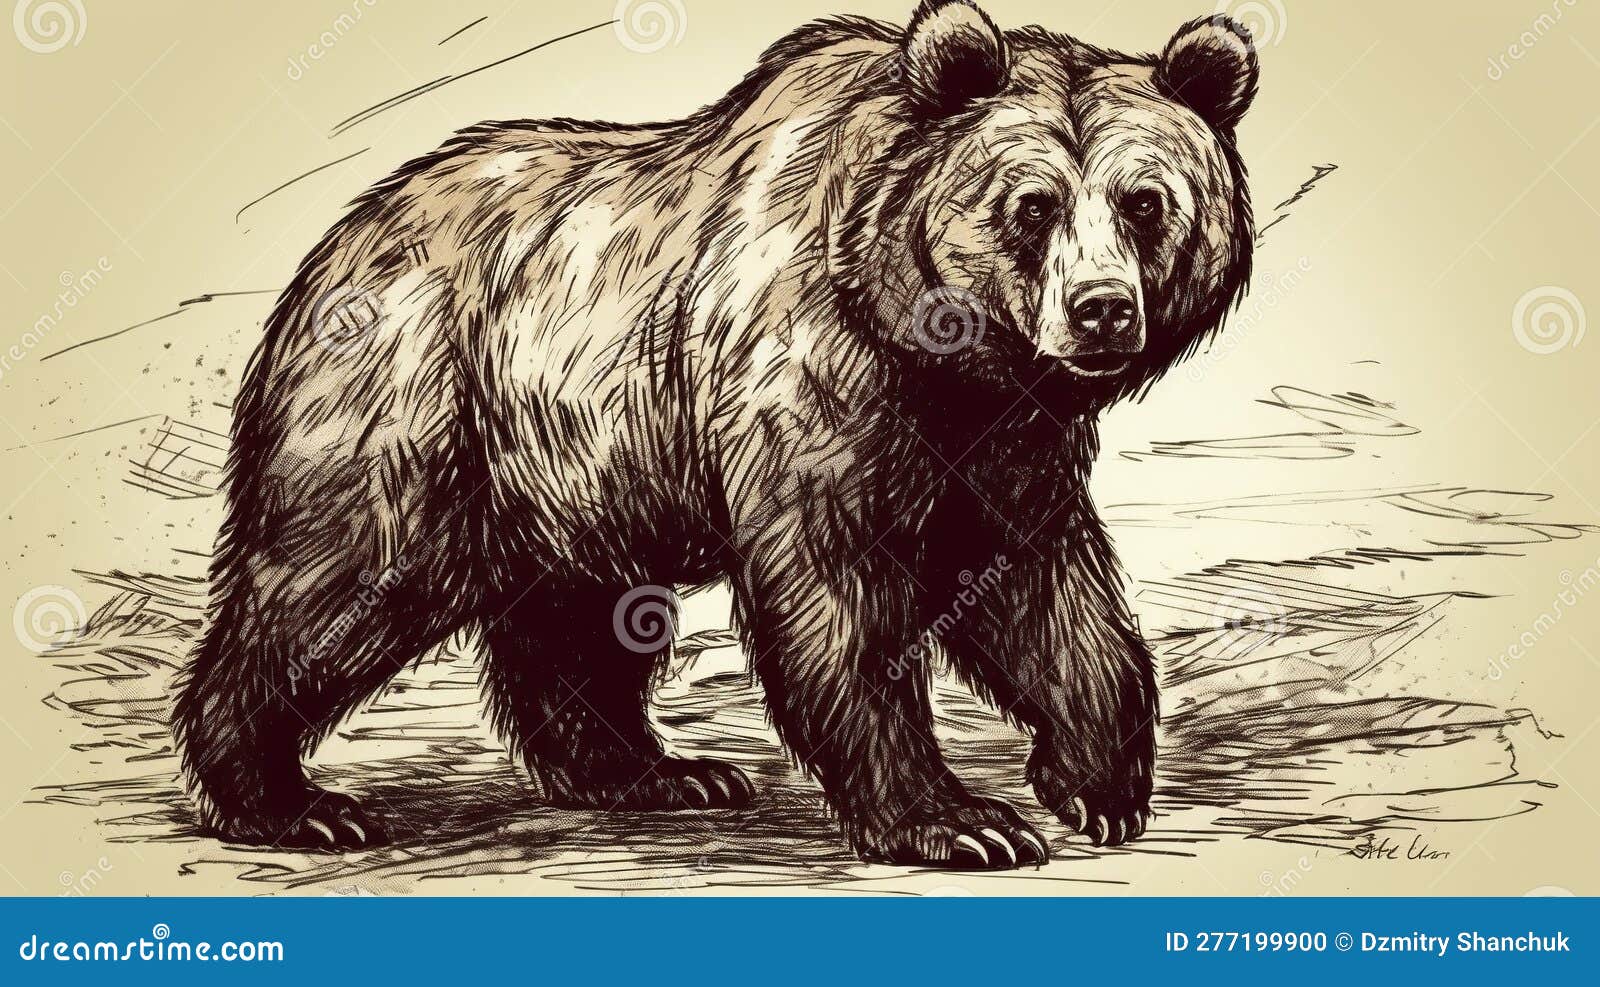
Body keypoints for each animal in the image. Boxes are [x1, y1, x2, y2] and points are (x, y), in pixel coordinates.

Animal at [172, 0, 1256, 869]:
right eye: (1032, 206)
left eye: (1144, 200)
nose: (1102, 310)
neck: (934, 350)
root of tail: (345, 234)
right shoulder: (808, 377)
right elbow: (839, 595)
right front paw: (961, 821)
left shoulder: (1000, 437)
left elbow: (1041, 584)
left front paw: (1098, 782)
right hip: (418, 399)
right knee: (339, 582)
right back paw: (288, 800)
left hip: (573, 466)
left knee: (577, 613)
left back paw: (659, 772)